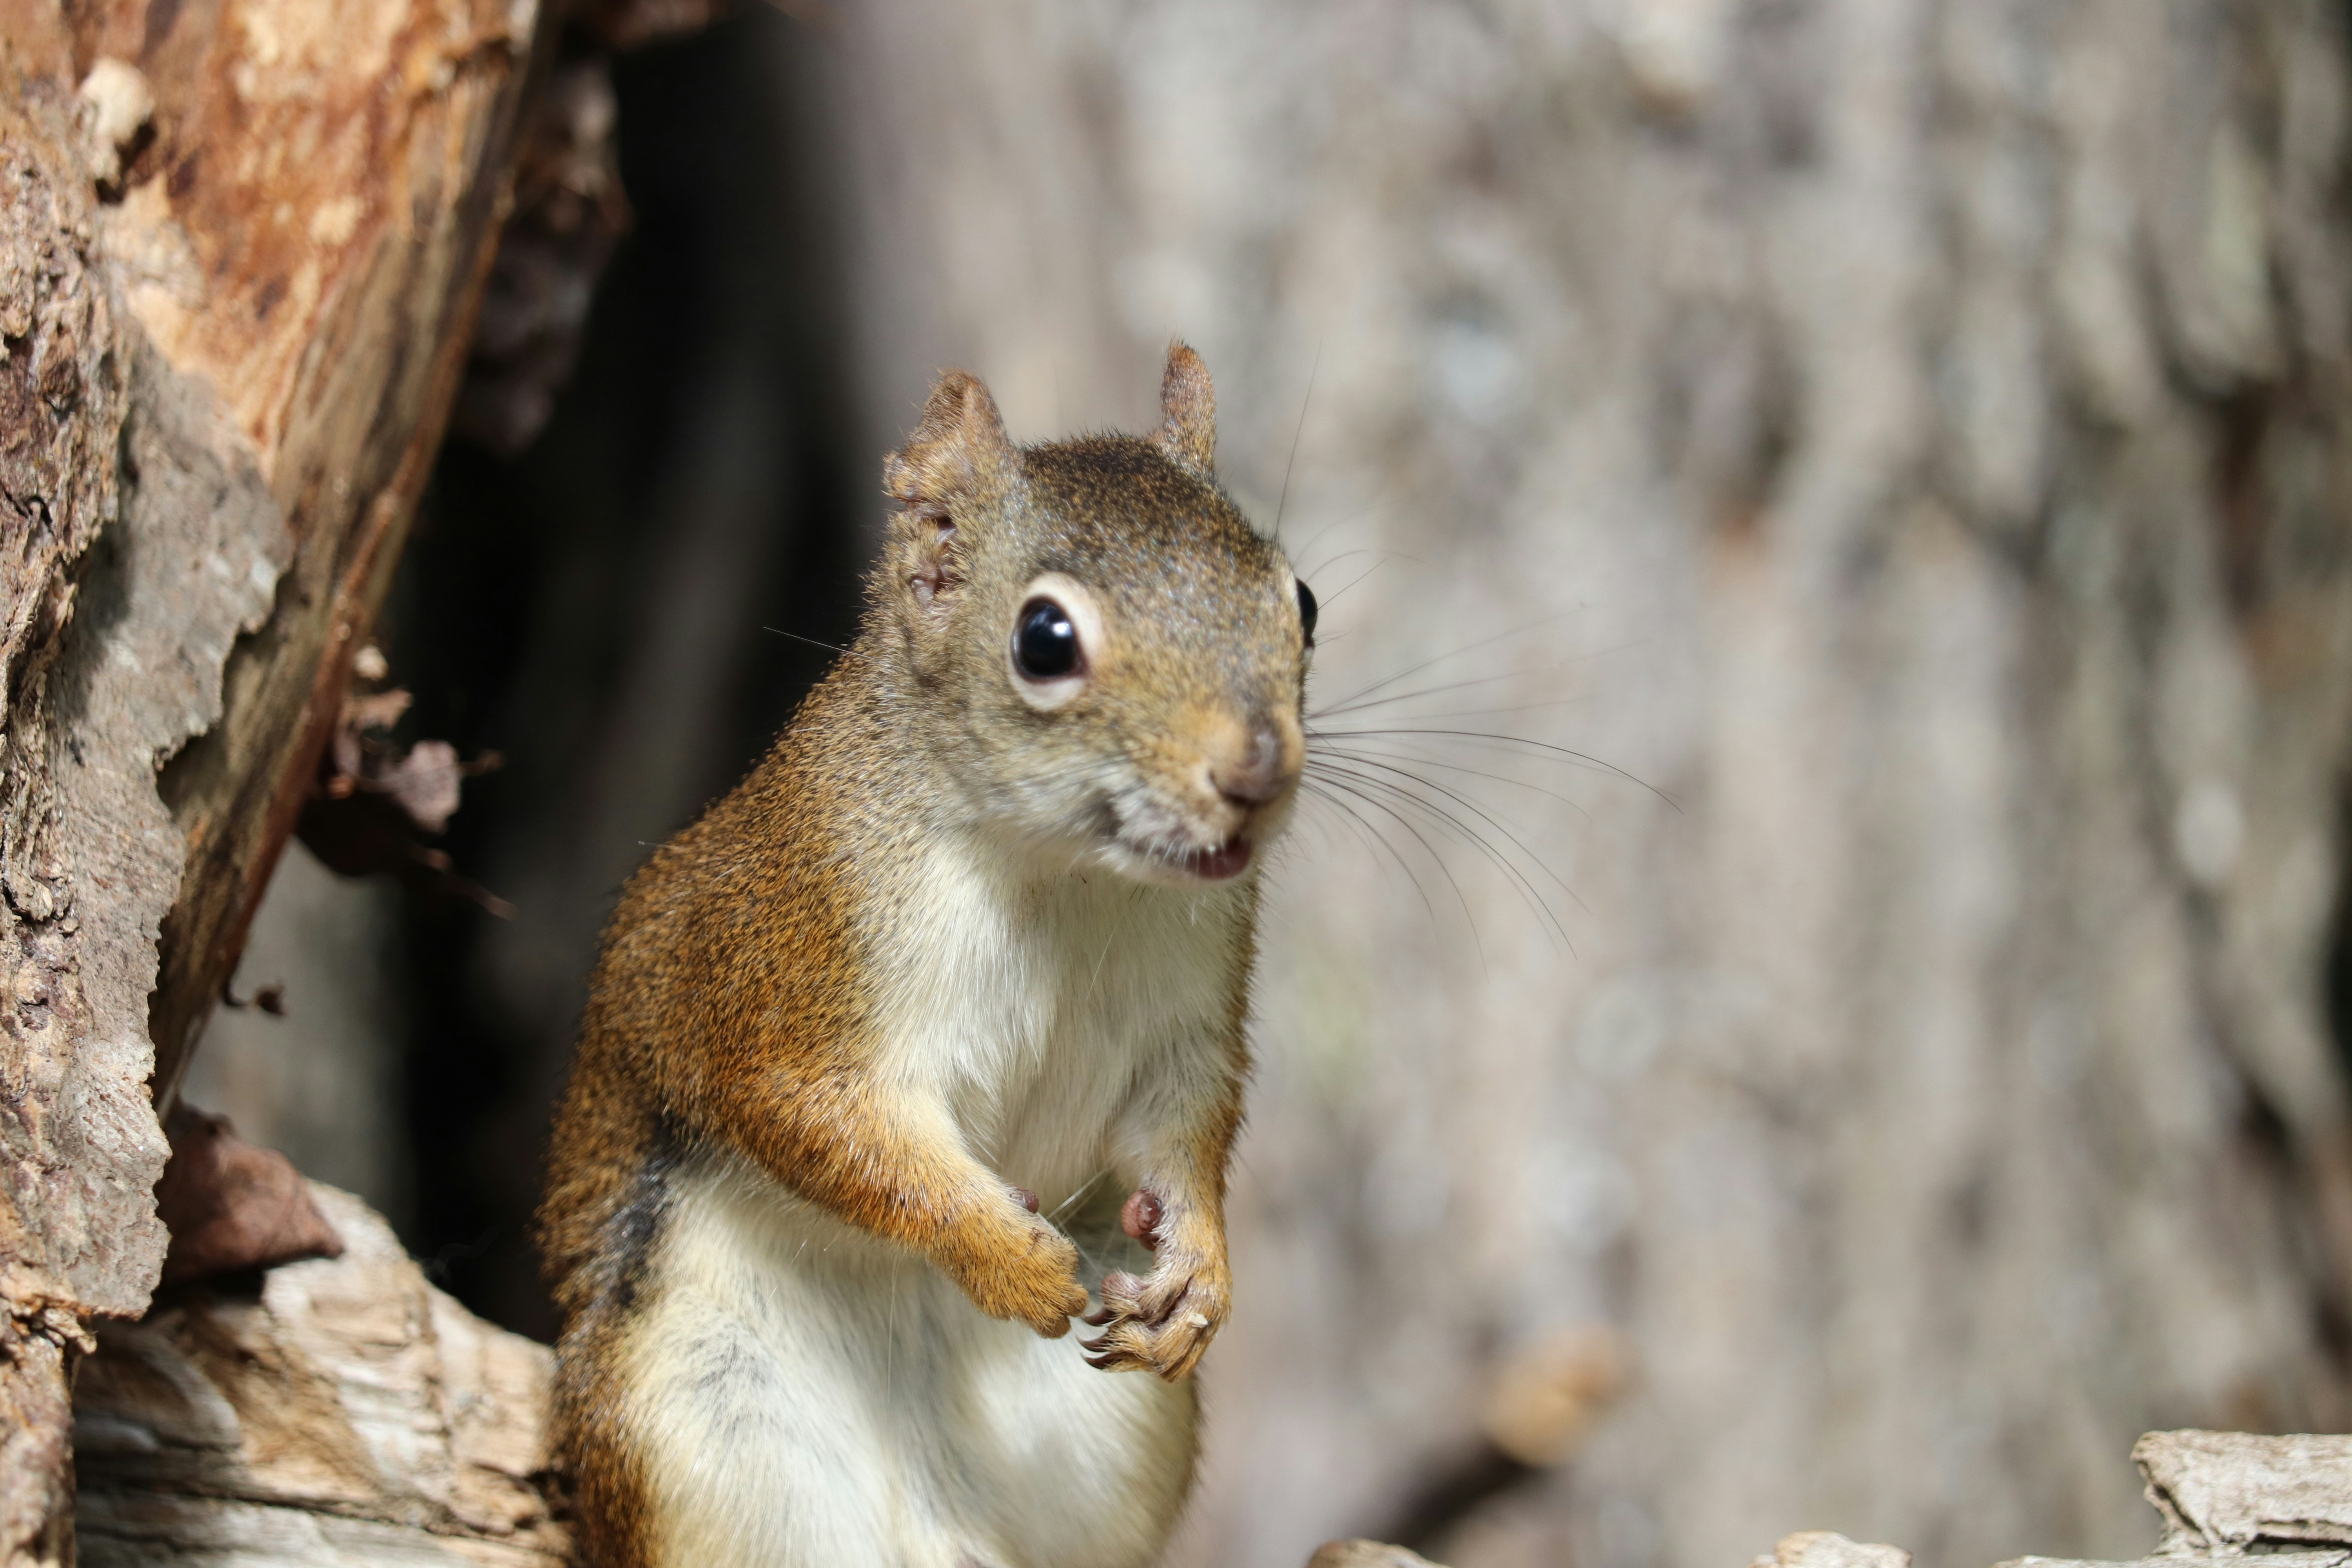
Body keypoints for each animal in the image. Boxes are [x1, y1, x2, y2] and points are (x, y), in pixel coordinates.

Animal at [539, 344, 1317, 1568]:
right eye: (1044, 640)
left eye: (1305, 605)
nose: (1258, 771)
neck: (1067, 879)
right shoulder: (788, 969)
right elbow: (820, 1122)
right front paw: (1004, 1252)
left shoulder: (1190, 1016)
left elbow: (1187, 1125)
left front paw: (1201, 1272)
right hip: (691, 1425)